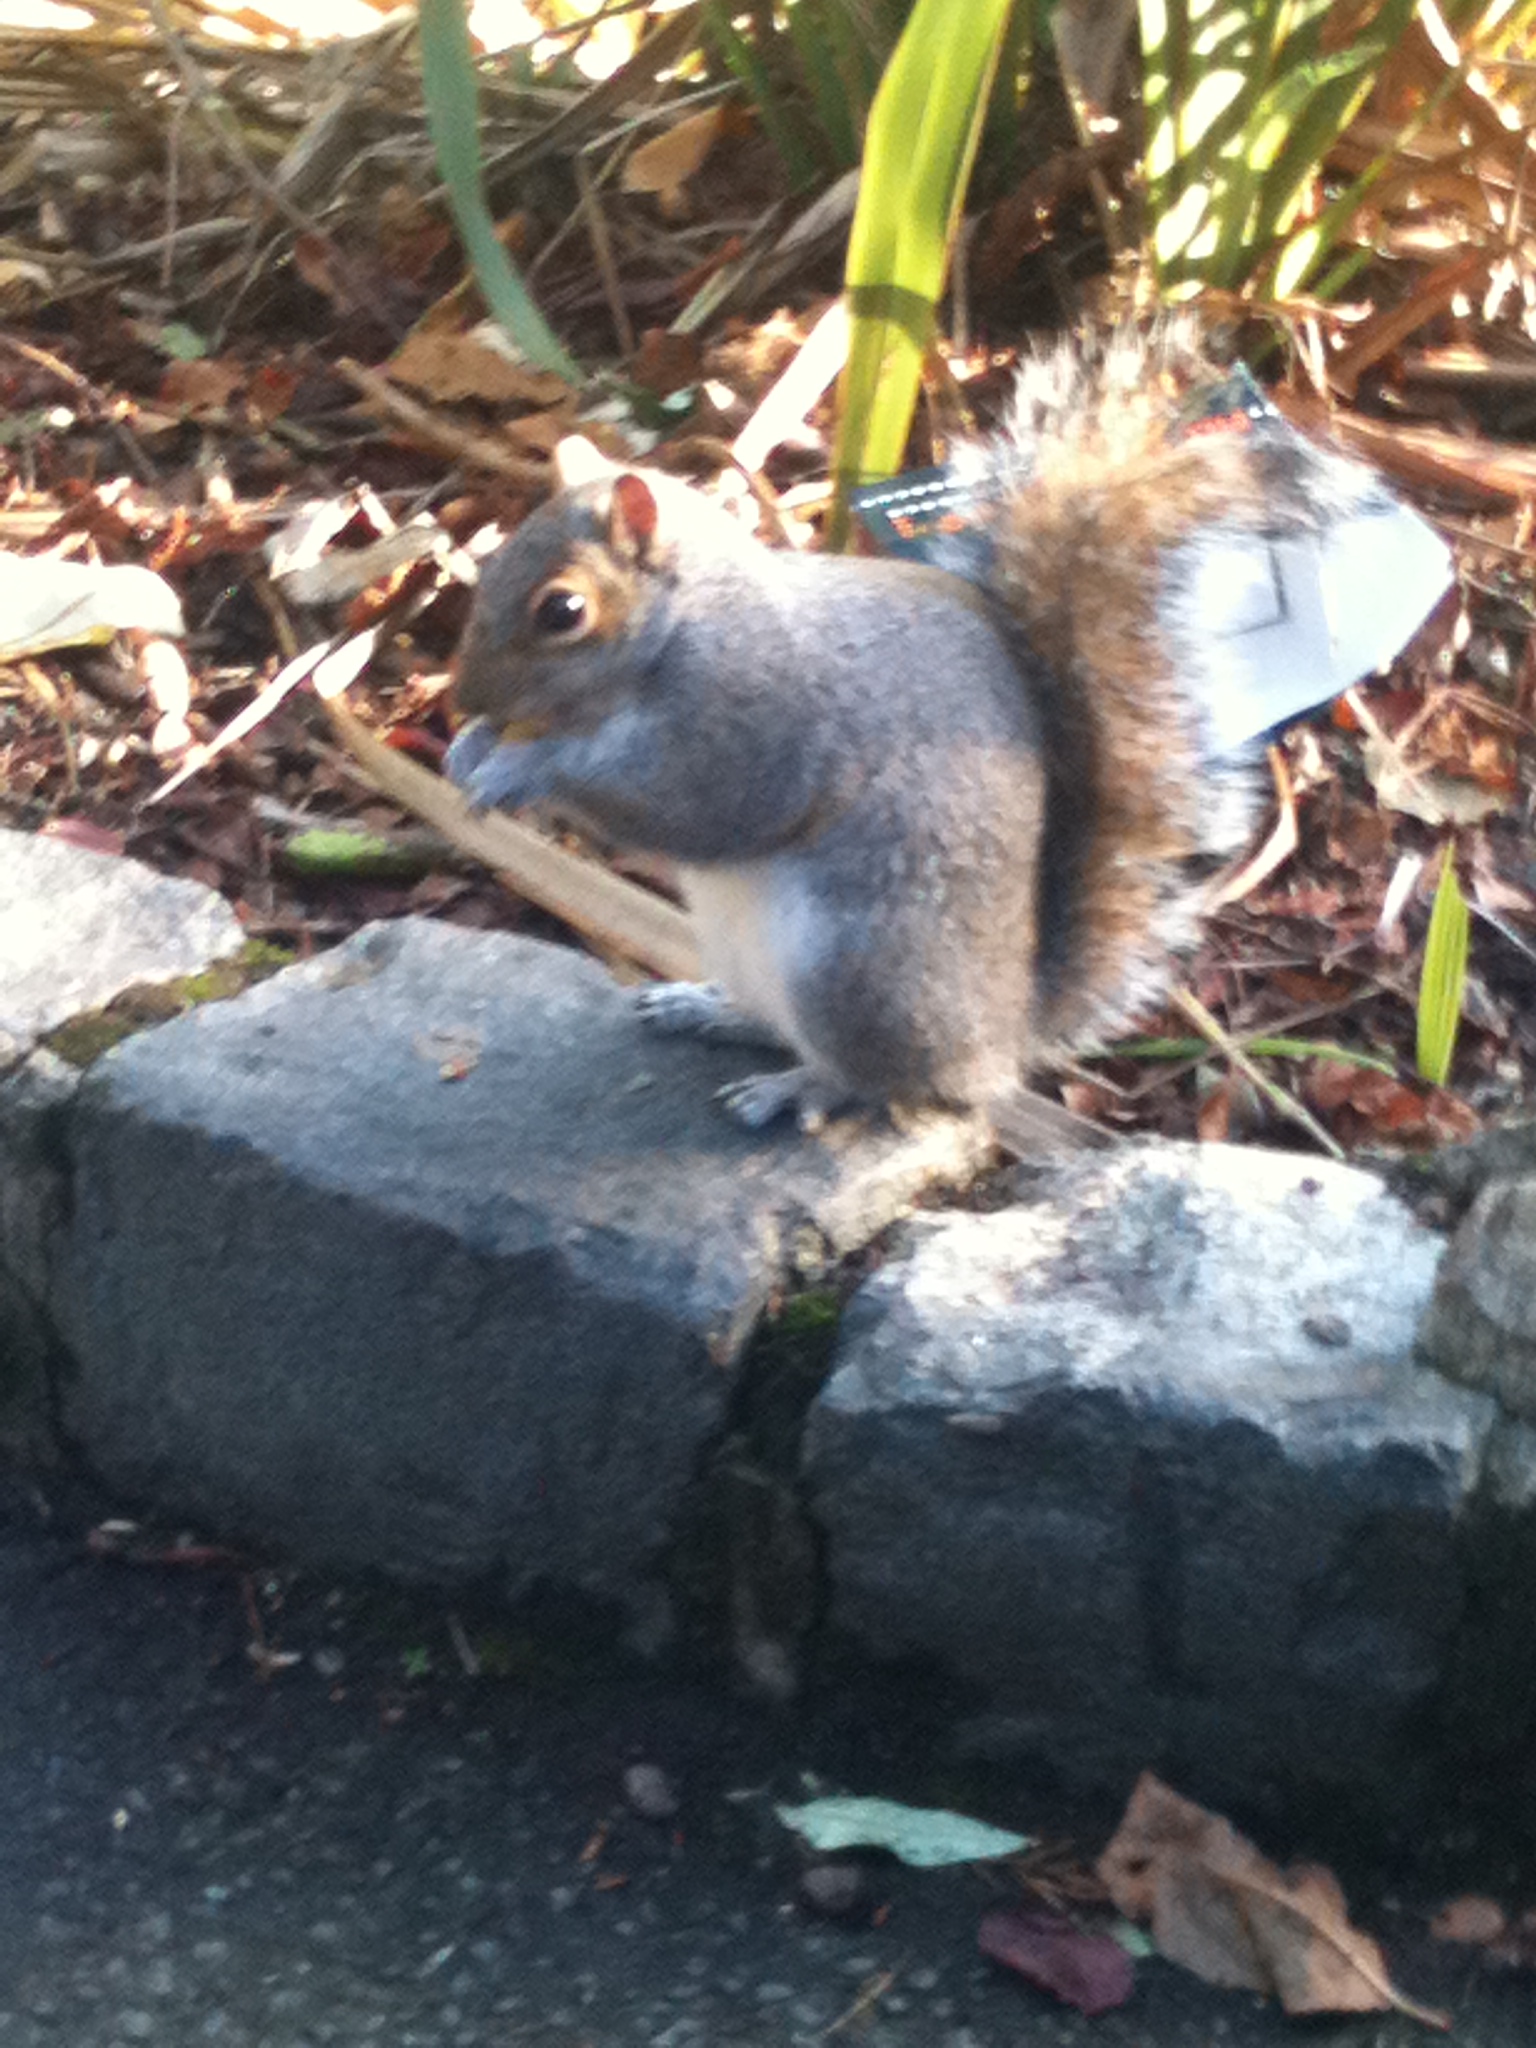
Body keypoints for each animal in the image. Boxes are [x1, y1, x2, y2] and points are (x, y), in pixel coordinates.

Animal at [445, 322, 1450, 1143]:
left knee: (879, 1080)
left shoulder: (752, 710)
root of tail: (1004, 1040)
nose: (459, 699)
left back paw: (799, 1090)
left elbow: (694, 803)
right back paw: (712, 1011)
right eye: (488, 568)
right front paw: (472, 752)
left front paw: (523, 768)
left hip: (860, 976)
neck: (686, 620)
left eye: (562, 611)